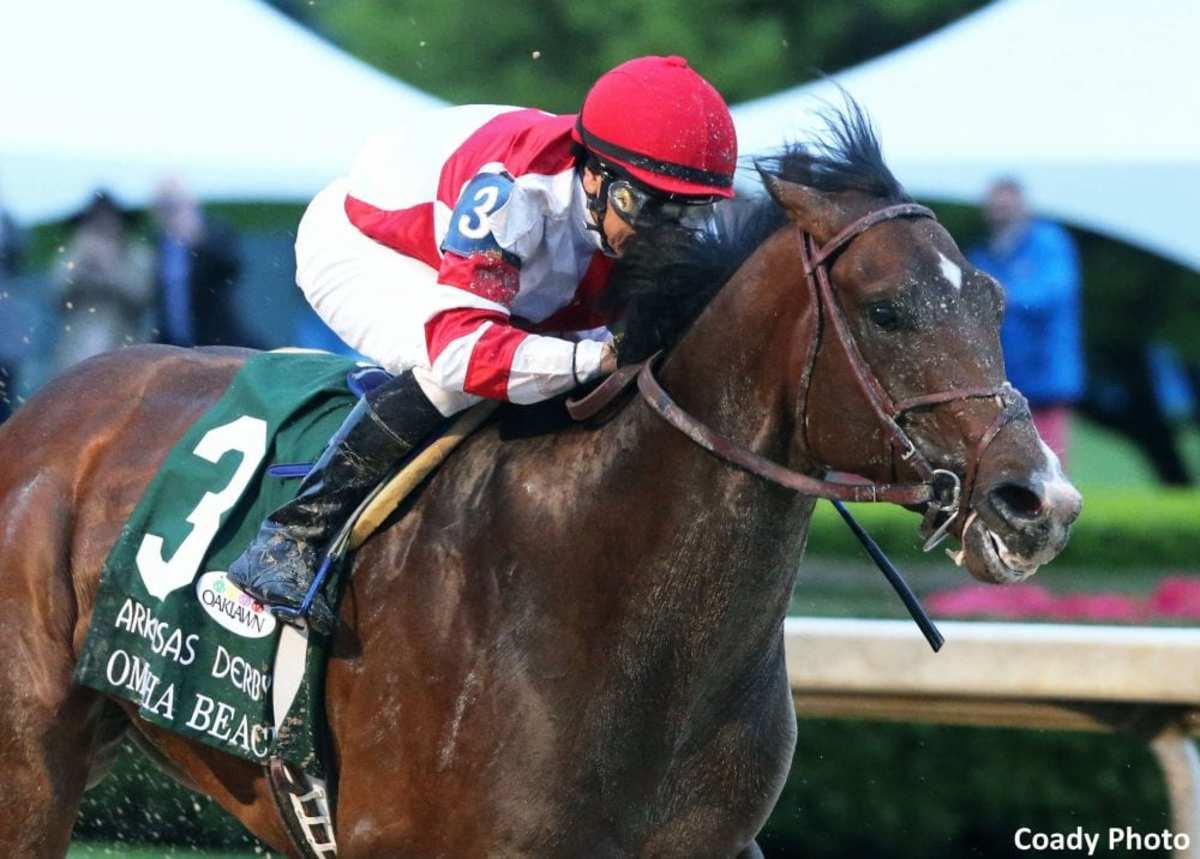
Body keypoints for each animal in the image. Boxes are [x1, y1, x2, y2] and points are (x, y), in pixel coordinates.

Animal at [0, 106, 1080, 858]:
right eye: (888, 309)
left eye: (993, 301)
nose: (1040, 503)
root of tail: (47, 408)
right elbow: (458, 341)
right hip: (31, 761)